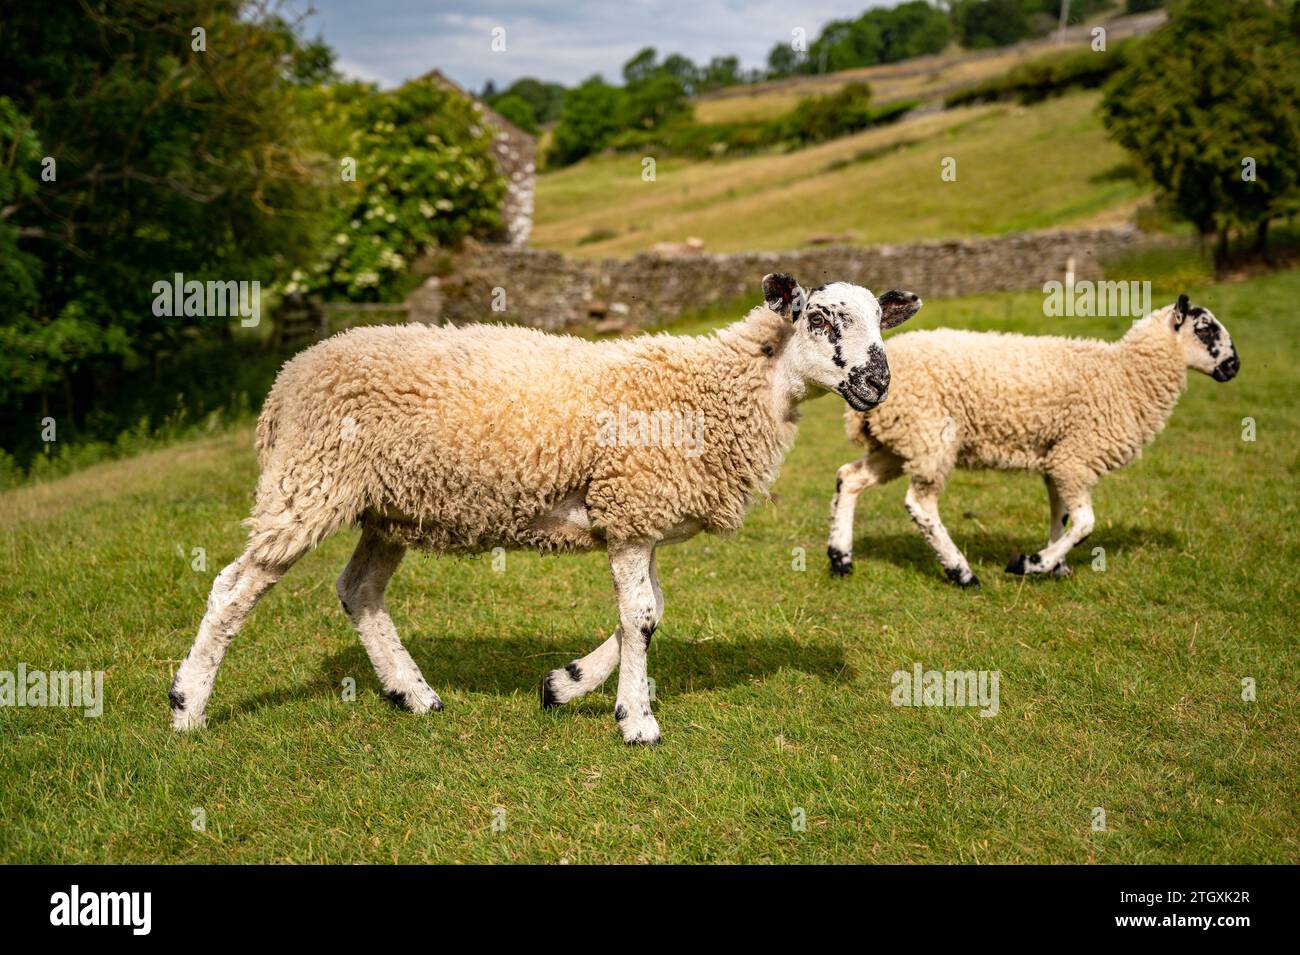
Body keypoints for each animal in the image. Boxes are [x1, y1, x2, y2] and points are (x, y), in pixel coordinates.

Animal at [170, 274, 922, 744]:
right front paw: (635, 721)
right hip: (310, 481)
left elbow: (646, 614)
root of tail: (285, 381)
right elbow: (641, 618)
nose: (877, 381)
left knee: (358, 591)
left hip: (388, 506)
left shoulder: (636, 519)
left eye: (882, 321)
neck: (720, 389)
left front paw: (564, 685)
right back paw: (187, 708)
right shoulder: (631, 507)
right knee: (233, 587)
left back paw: (413, 693)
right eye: (819, 318)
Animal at [826, 295, 1239, 586]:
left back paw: (840, 558)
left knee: (850, 477)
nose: (1234, 366)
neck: (1125, 375)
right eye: (1205, 329)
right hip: (929, 435)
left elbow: (1062, 514)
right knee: (921, 505)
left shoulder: (1056, 456)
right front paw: (1031, 563)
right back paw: (961, 572)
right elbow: (1085, 523)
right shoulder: (1076, 457)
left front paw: (1057, 566)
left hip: (897, 440)